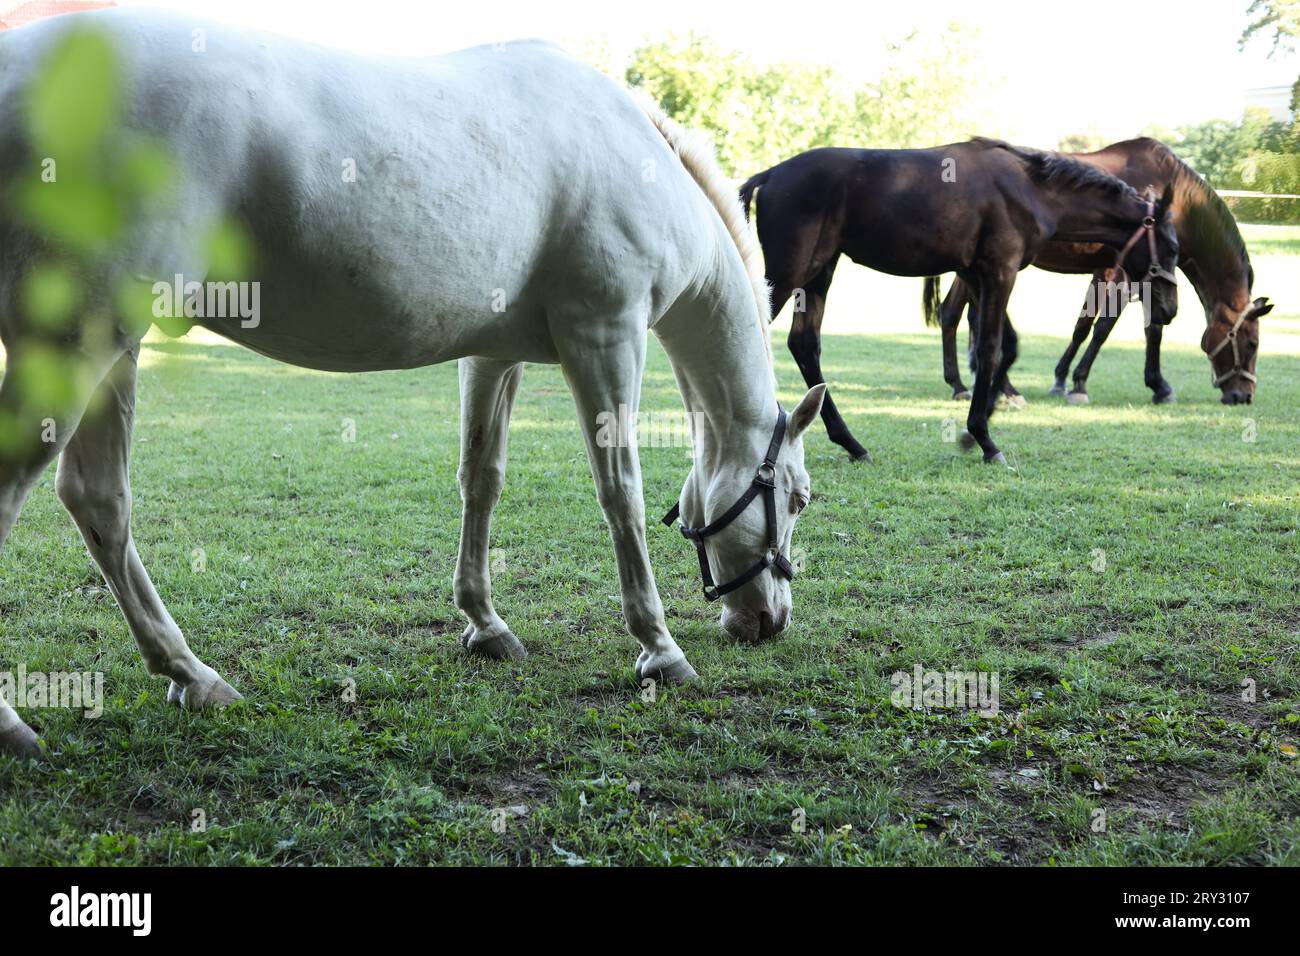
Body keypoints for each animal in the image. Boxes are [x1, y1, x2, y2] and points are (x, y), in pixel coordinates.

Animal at [0, 9, 828, 756]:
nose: (771, 621)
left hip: (113, 349)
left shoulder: (494, 357)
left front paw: (485, 624)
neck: (635, 157)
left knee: (99, 500)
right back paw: (19, 725)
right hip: (77, 344)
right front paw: (659, 648)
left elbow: (481, 480)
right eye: (796, 496)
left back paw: (191, 674)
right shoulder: (604, 333)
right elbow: (618, 491)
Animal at [739, 139, 1179, 462]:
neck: (1027, 189)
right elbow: (989, 347)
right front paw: (985, 439)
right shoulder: (1000, 272)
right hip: (789, 275)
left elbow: (1004, 347)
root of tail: (771, 174)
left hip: (819, 274)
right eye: (1172, 248)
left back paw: (852, 443)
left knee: (804, 344)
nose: (1169, 310)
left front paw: (983, 419)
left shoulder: (975, 274)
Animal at [935, 138, 1272, 405]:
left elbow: (1089, 326)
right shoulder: (1123, 274)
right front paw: (1082, 384)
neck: (1176, 202)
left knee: (962, 314)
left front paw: (1063, 379)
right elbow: (1107, 328)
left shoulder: (1116, 273)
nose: (1243, 396)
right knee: (954, 314)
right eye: (1252, 344)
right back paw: (972, 385)